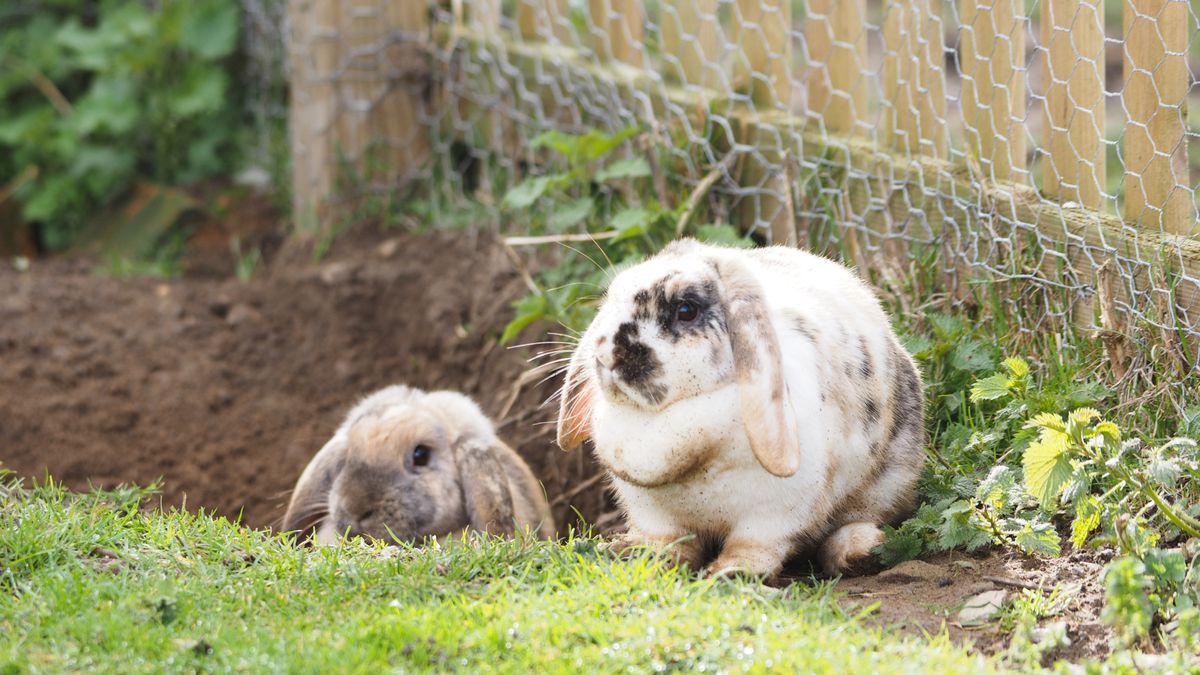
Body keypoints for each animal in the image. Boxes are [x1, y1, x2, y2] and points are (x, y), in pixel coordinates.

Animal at [556, 239, 925, 578]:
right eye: (612, 297)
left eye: (686, 309)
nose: (606, 355)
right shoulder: (653, 514)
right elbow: (667, 540)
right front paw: (644, 558)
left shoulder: (775, 515)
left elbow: (754, 545)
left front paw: (732, 572)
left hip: (887, 485)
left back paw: (859, 552)